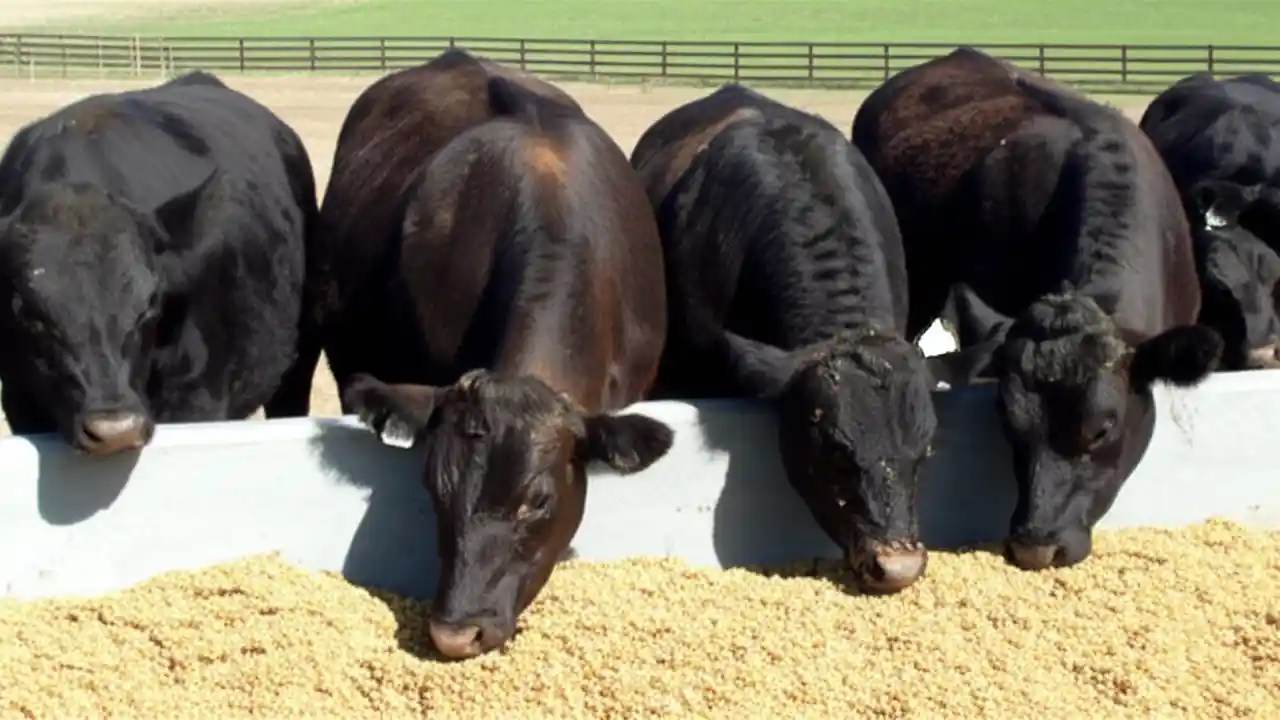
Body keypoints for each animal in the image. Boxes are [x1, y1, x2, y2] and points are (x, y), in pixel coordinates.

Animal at [0, 70, 321, 455]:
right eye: (27, 314)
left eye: (150, 305)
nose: (116, 430)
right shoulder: (19, 402)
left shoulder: (198, 399)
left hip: (298, 361)